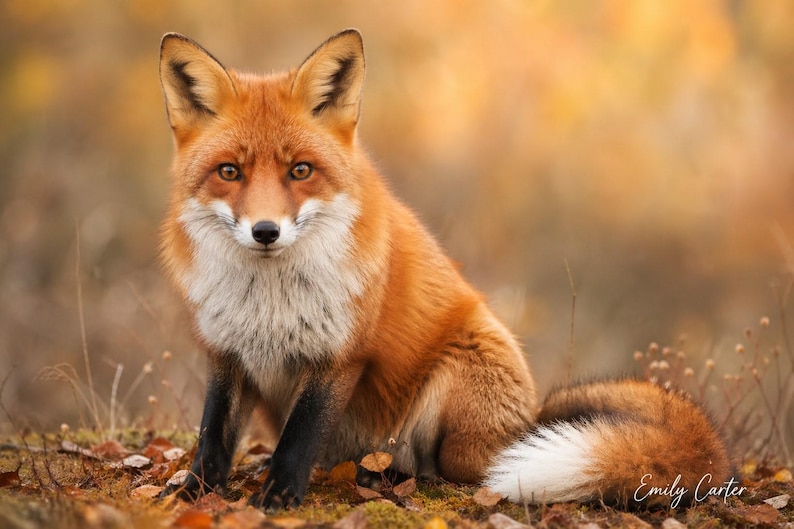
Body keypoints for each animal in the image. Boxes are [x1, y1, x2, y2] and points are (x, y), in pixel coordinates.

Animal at [157, 29, 731, 510]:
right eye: (229, 172)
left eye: (300, 171)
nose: (266, 231)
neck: (267, 302)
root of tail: (529, 417)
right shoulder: (226, 350)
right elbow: (212, 438)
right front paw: (190, 495)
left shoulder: (339, 355)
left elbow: (298, 438)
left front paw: (278, 497)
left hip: (459, 380)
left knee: (468, 472)